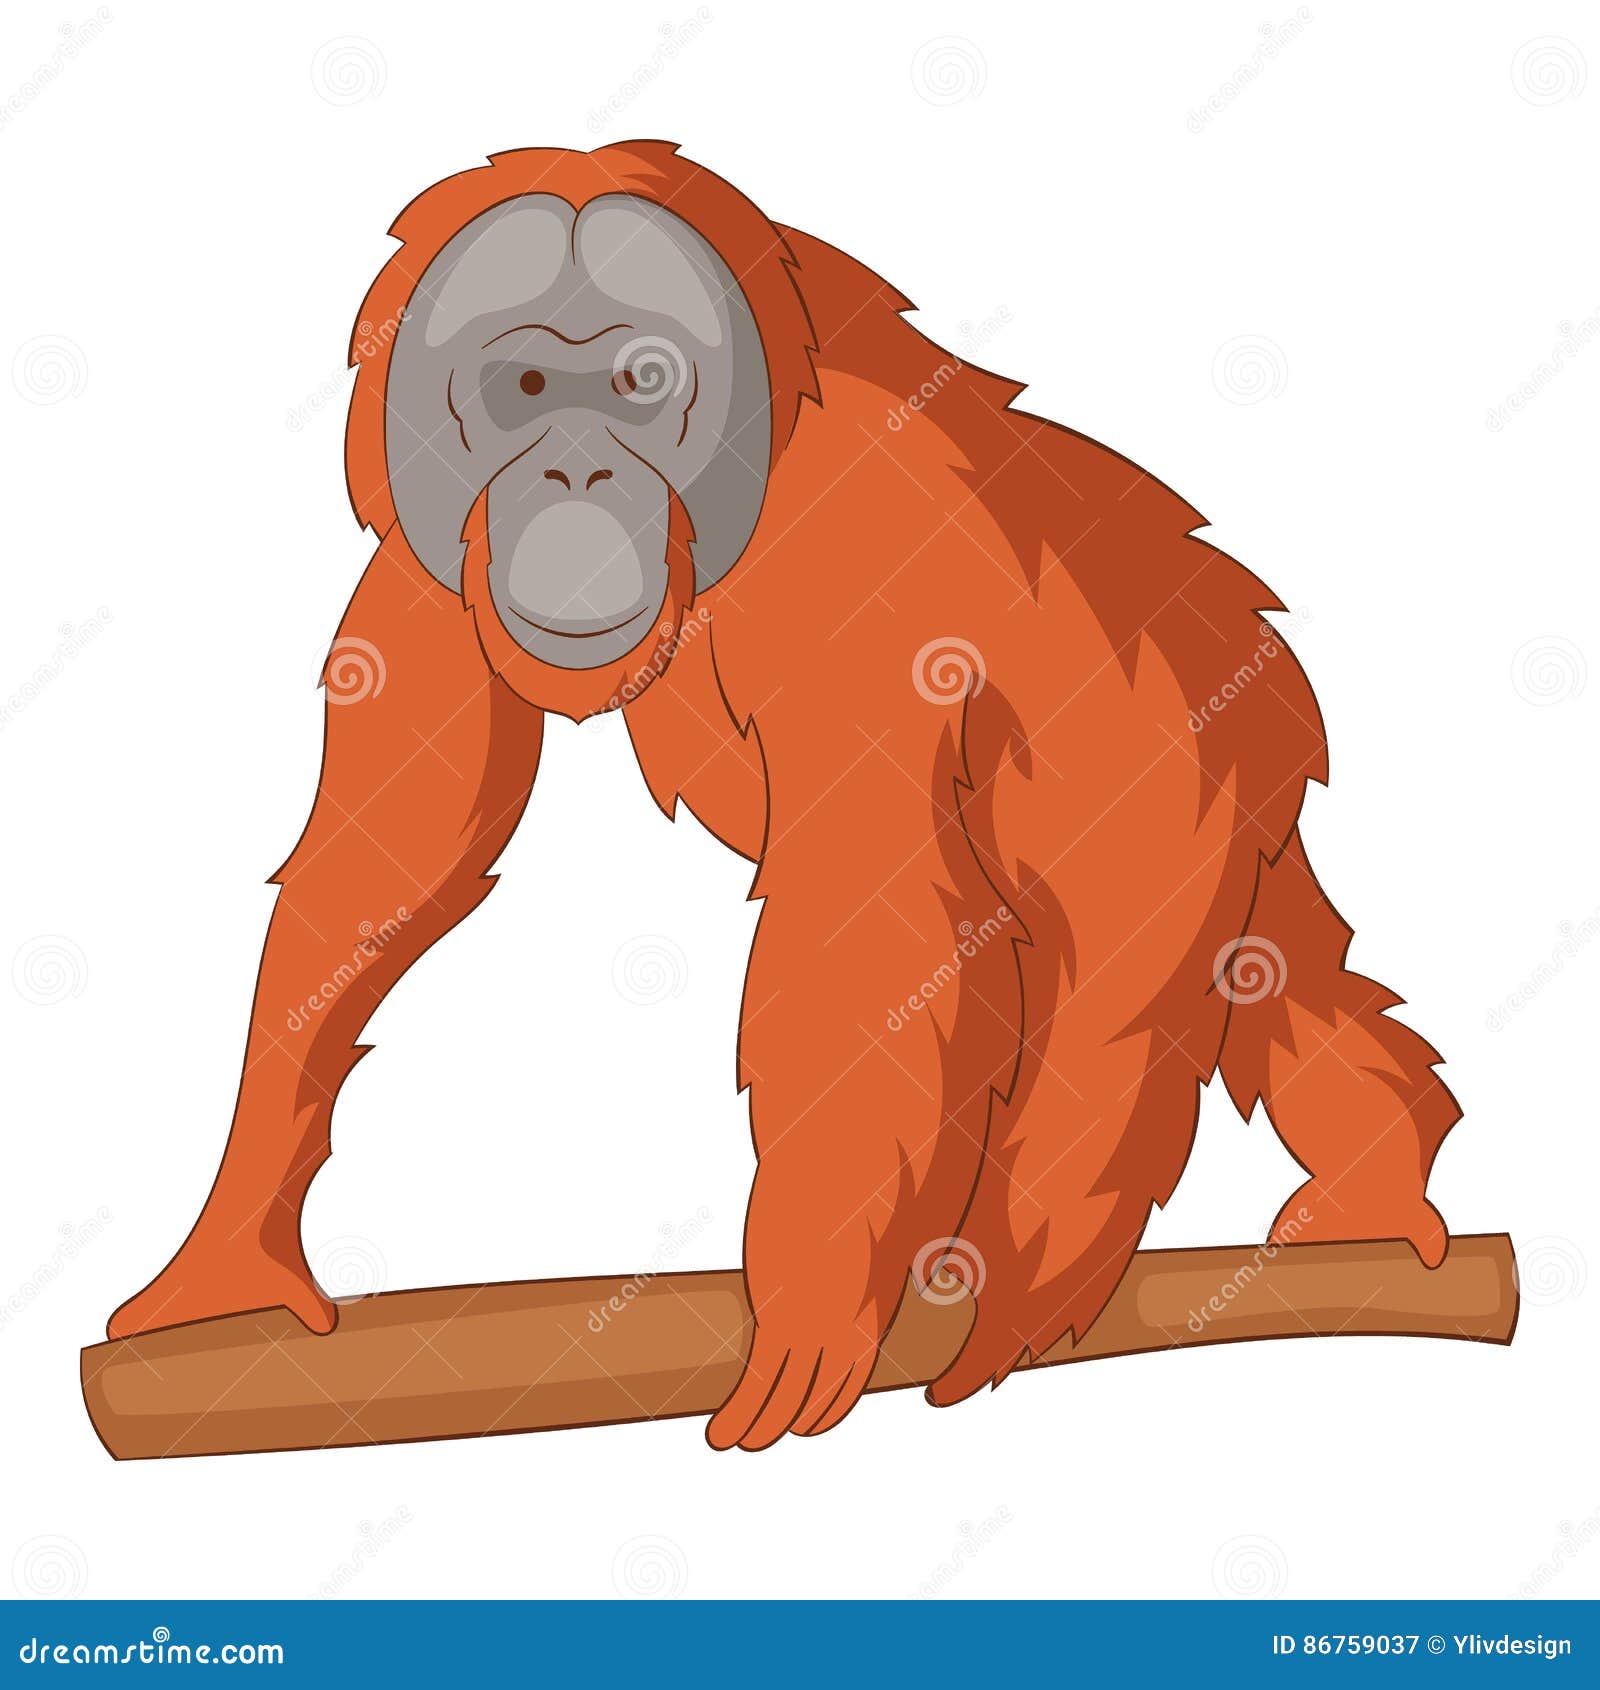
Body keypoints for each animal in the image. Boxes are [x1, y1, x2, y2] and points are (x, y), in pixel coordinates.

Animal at [109, 143, 1458, 1450]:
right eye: (529, 389)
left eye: (642, 382)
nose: (576, 468)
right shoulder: (423, 561)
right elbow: (386, 855)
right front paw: (230, 1261)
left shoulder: (867, 553)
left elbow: (867, 930)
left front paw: (812, 1299)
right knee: (1264, 969)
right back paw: (1367, 1183)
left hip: (1185, 765)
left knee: (1128, 983)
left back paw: (1039, 1269)